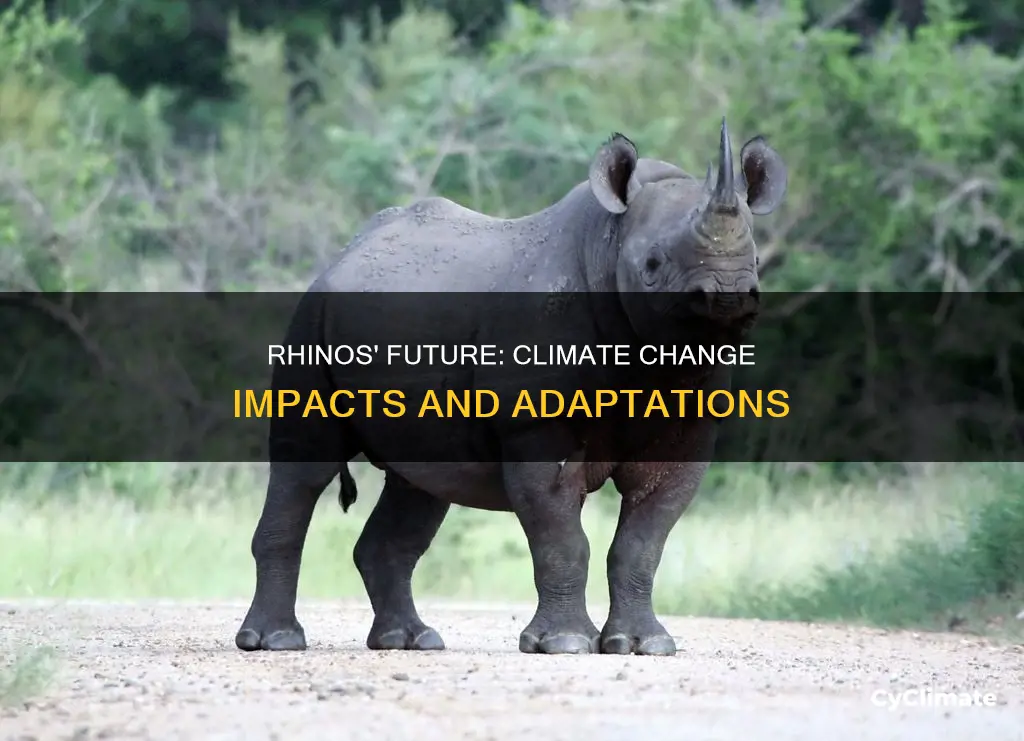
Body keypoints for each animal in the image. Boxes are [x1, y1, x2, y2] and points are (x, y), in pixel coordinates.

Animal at [235, 119, 787, 656]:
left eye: (756, 261)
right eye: (652, 265)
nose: (727, 294)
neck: (609, 241)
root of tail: (342, 255)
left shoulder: (686, 427)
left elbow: (643, 543)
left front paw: (644, 645)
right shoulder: (537, 425)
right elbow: (562, 537)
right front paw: (565, 644)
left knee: (419, 484)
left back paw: (410, 641)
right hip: (310, 317)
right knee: (304, 468)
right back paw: (276, 642)